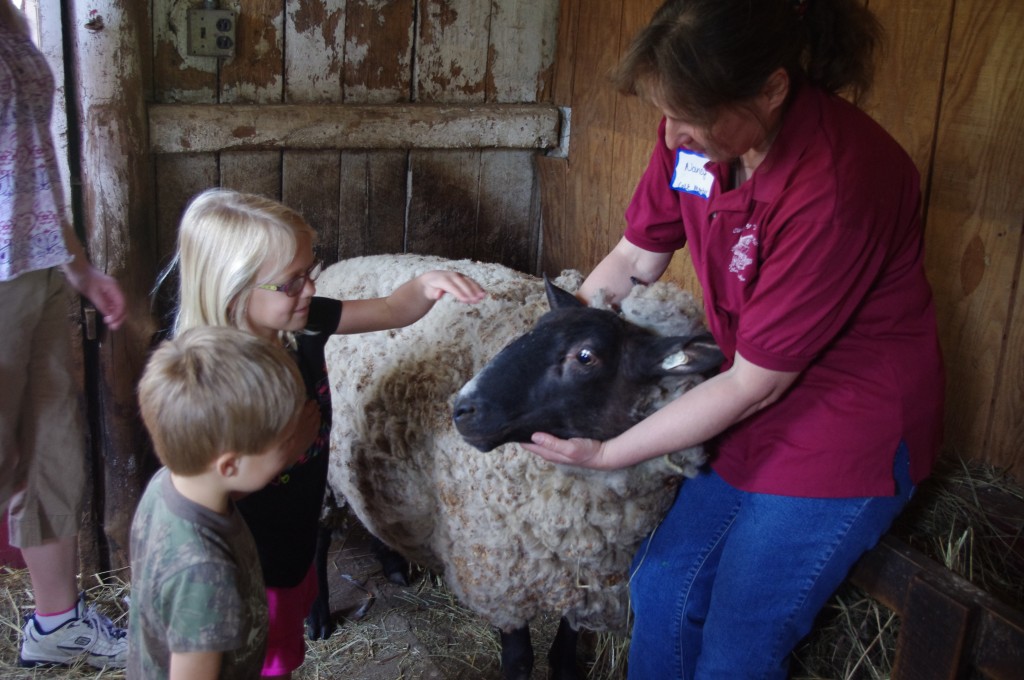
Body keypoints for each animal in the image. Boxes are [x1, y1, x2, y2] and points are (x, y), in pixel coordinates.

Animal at [317, 253, 721, 680]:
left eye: (585, 357)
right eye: (536, 329)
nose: (462, 408)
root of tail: (337, 266)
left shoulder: (585, 576)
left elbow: (565, 648)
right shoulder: (500, 574)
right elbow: (519, 659)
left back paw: (393, 562)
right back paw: (319, 620)